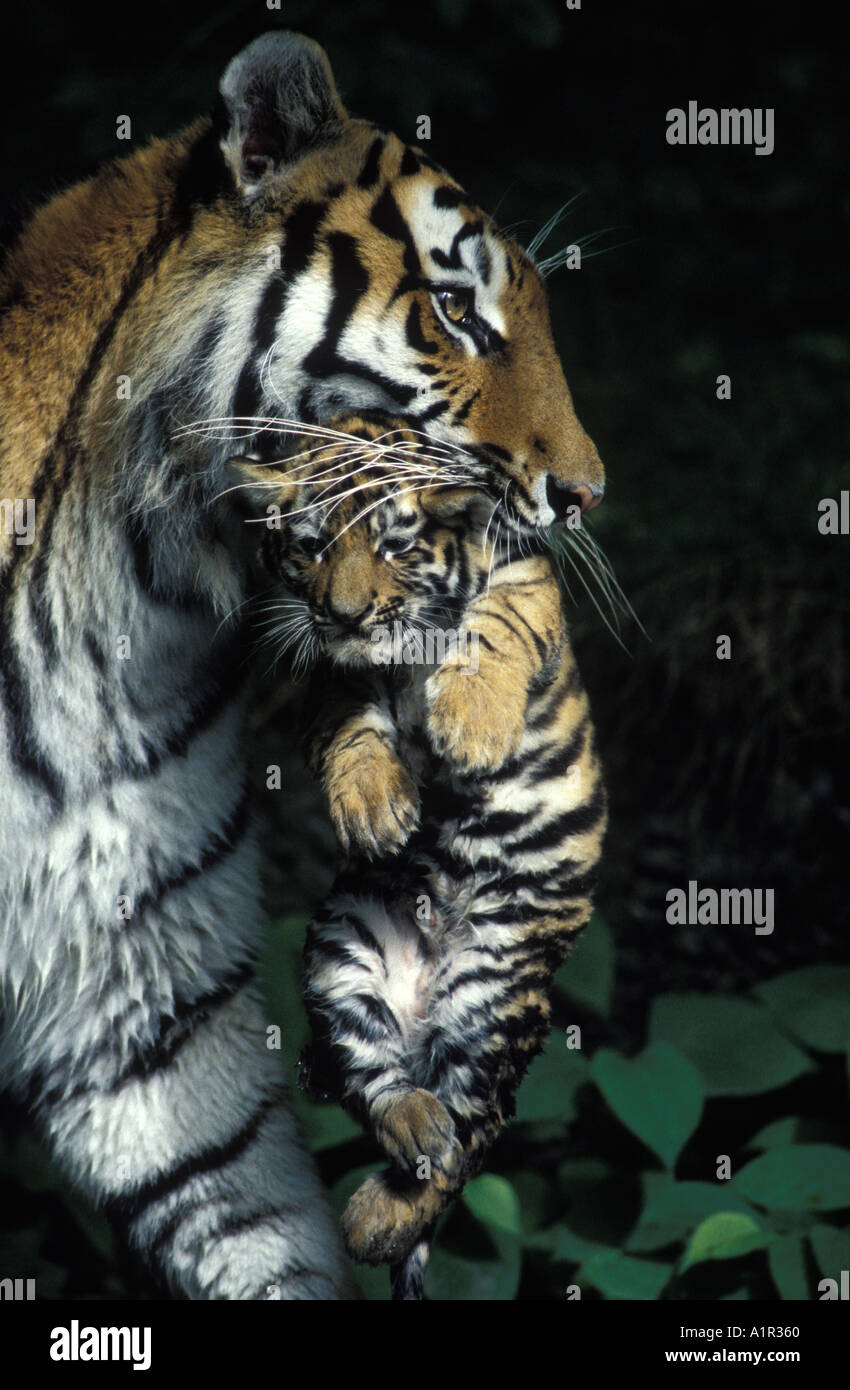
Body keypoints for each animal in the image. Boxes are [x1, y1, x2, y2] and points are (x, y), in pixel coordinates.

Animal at [229, 413, 607, 1299]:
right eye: (310, 547)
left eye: (395, 546)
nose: (344, 613)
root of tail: (420, 1005)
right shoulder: (327, 676)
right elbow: (352, 725)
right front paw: (373, 808)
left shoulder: (527, 579)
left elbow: (497, 623)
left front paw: (468, 723)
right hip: (344, 950)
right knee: (379, 1085)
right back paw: (399, 1148)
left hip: (494, 992)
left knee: (473, 1132)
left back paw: (380, 1217)